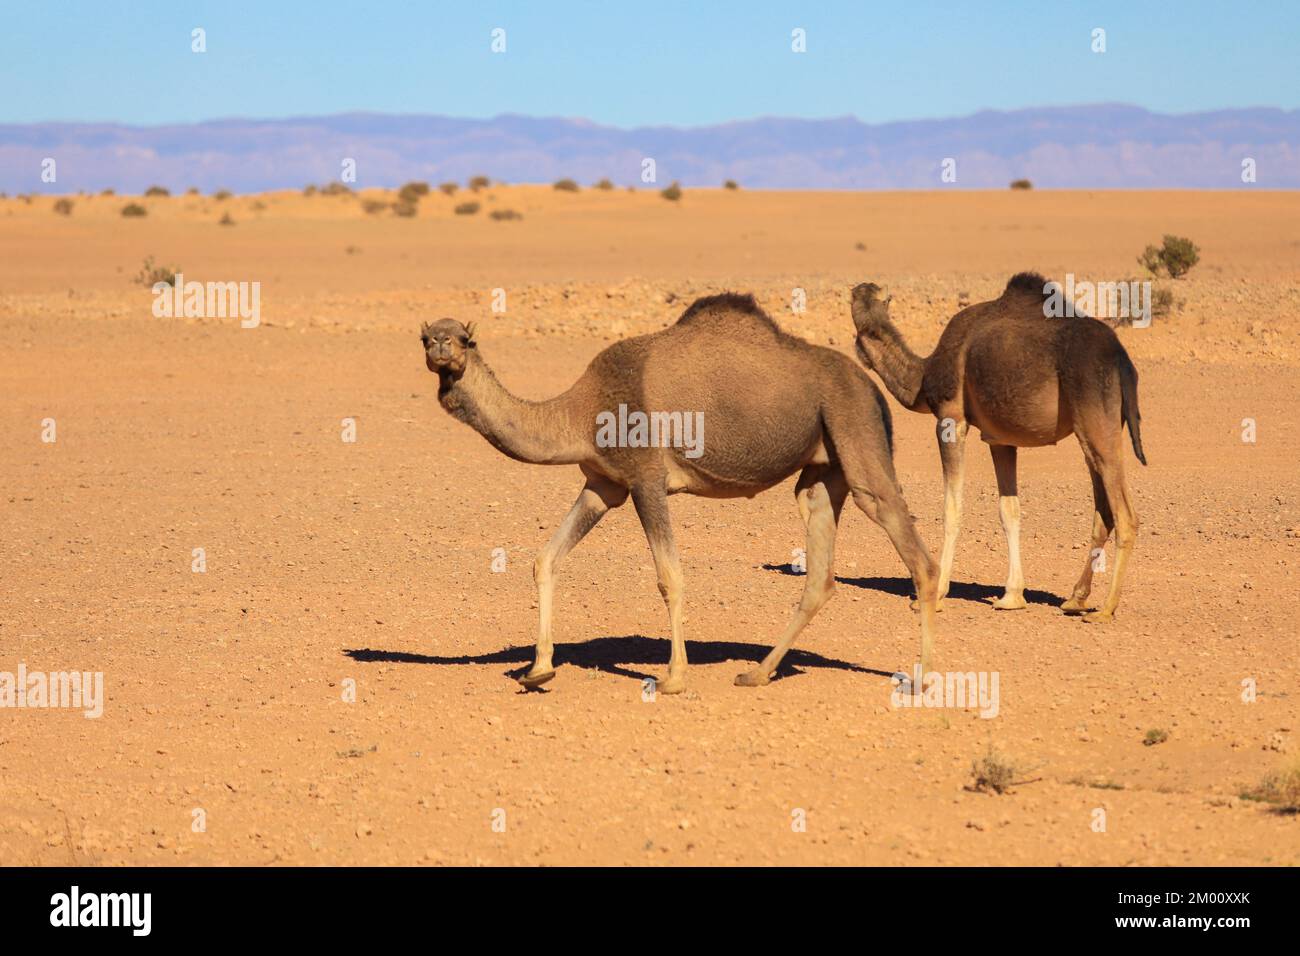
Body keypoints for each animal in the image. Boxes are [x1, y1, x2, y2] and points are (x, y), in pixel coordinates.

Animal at [422, 292, 938, 694]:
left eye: (466, 339)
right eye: (426, 338)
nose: (443, 347)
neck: (580, 411)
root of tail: (872, 389)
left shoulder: (646, 478)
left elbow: (669, 577)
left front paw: (672, 677)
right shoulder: (604, 483)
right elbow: (545, 559)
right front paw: (539, 669)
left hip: (855, 427)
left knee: (911, 548)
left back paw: (926, 679)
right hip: (823, 467)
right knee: (819, 571)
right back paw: (756, 673)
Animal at [848, 273, 1146, 622]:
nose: (863, 287)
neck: (923, 377)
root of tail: (1121, 360)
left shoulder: (951, 419)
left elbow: (952, 508)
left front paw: (937, 594)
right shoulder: (1000, 440)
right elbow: (1009, 510)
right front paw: (1012, 595)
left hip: (1096, 421)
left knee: (1125, 514)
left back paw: (1105, 609)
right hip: (1091, 430)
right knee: (1104, 510)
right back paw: (1076, 598)